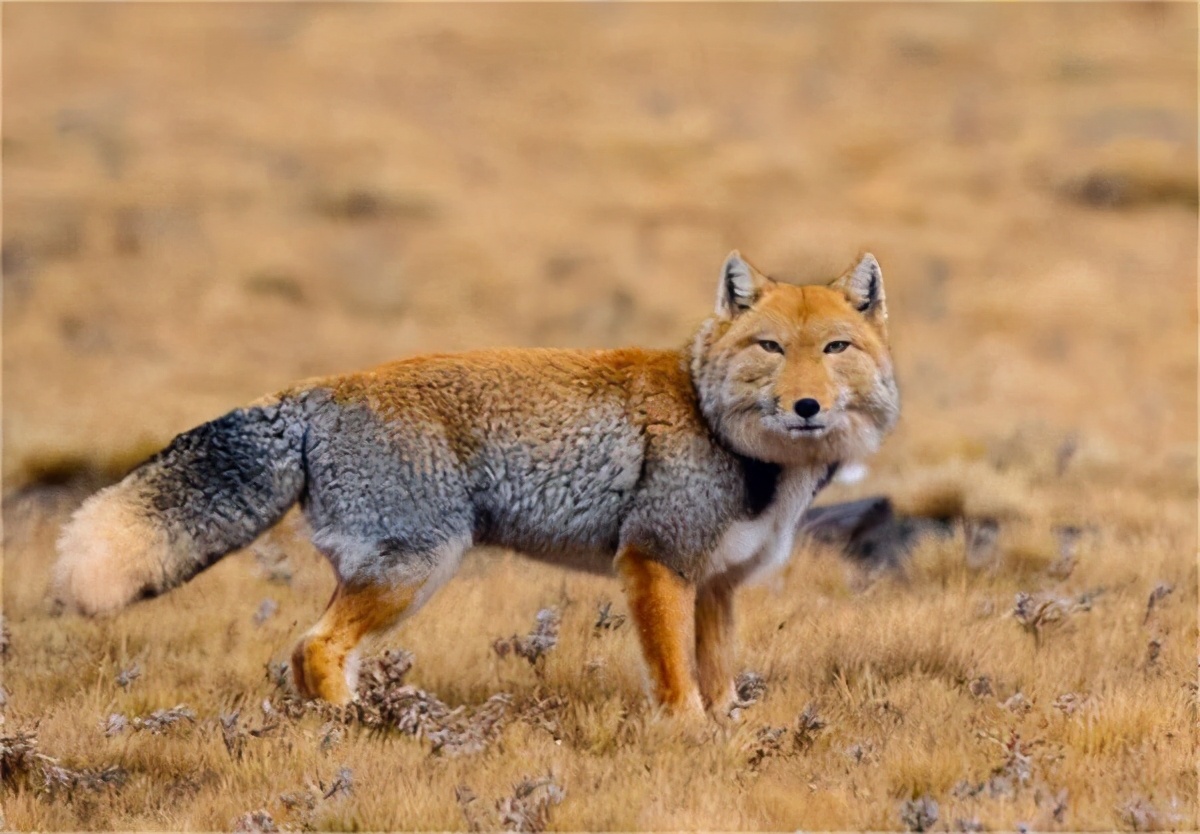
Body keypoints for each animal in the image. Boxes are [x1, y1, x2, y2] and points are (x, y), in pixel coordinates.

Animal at [53, 251, 899, 717]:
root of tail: (319, 387)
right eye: (769, 348)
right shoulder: (653, 562)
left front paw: (727, 732)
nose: (806, 405)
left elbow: (719, 679)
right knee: (314, 649)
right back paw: (355, 731)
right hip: (415, 568)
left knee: (307, 653)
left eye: (835, 349)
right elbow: (675, 681)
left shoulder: (717, 581)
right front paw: (688, 736)